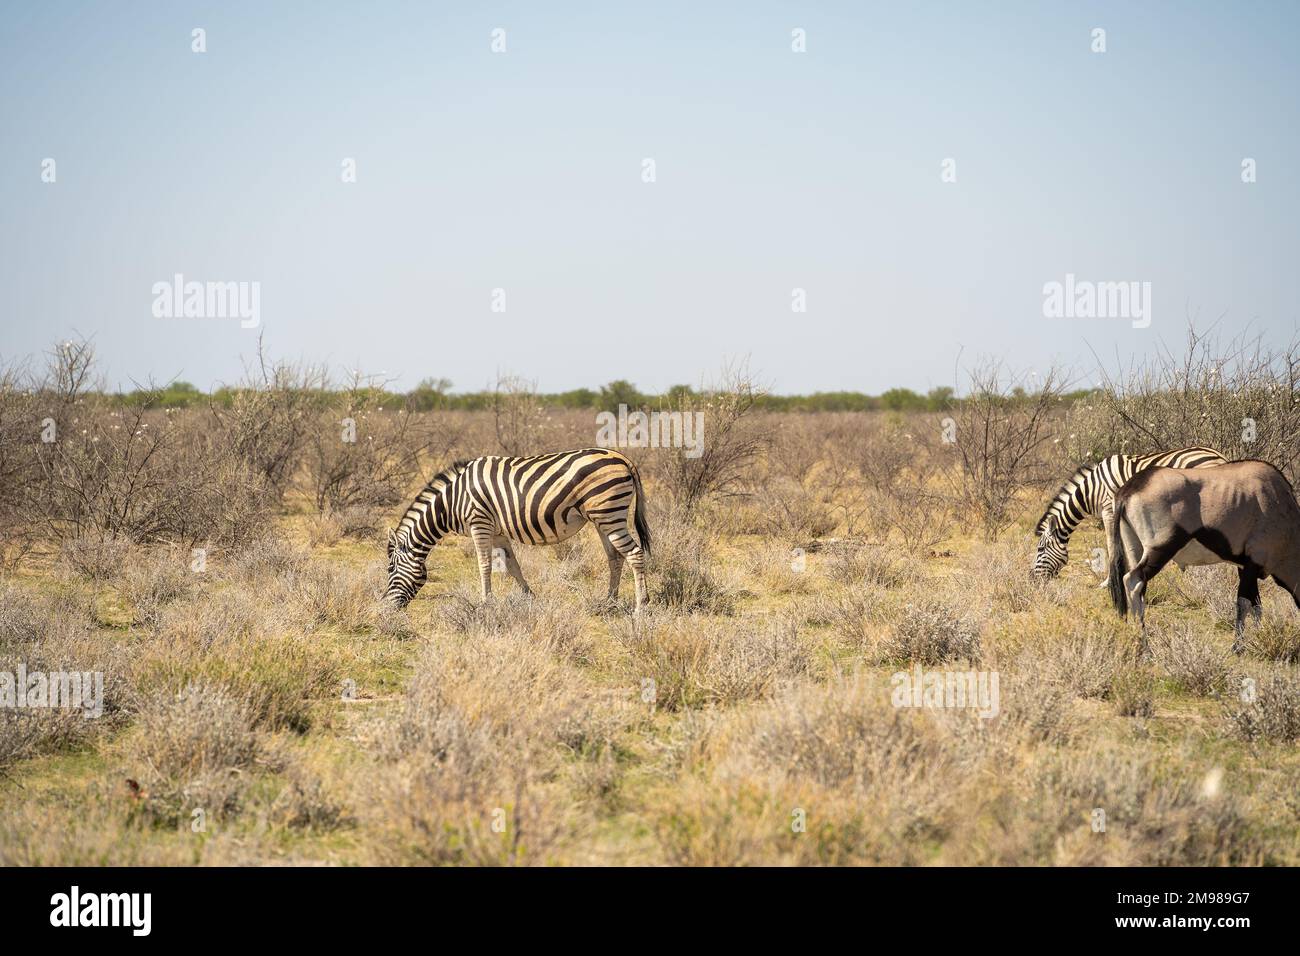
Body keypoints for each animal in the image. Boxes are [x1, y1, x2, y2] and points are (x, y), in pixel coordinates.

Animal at [384, 448, 652, 612]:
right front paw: (529, 597)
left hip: (611, 515)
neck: (452, 502)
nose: (386, 608)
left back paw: (641, 607)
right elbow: (513, 566)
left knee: (635, 554)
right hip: (603, 519)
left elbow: (484, 565)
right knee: (615, 557)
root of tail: (621, 457)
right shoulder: (498, 533)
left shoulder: (479, 523)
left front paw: (486, 603)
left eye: (391, 569)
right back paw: (609, 602)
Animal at [1032, 445, 1227, 581]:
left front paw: (1108, 581)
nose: (1031, 578)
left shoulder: (1109, 509)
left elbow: (1112, 544)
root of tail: (1219, 455)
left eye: (1040, 549)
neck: (1091, 490)